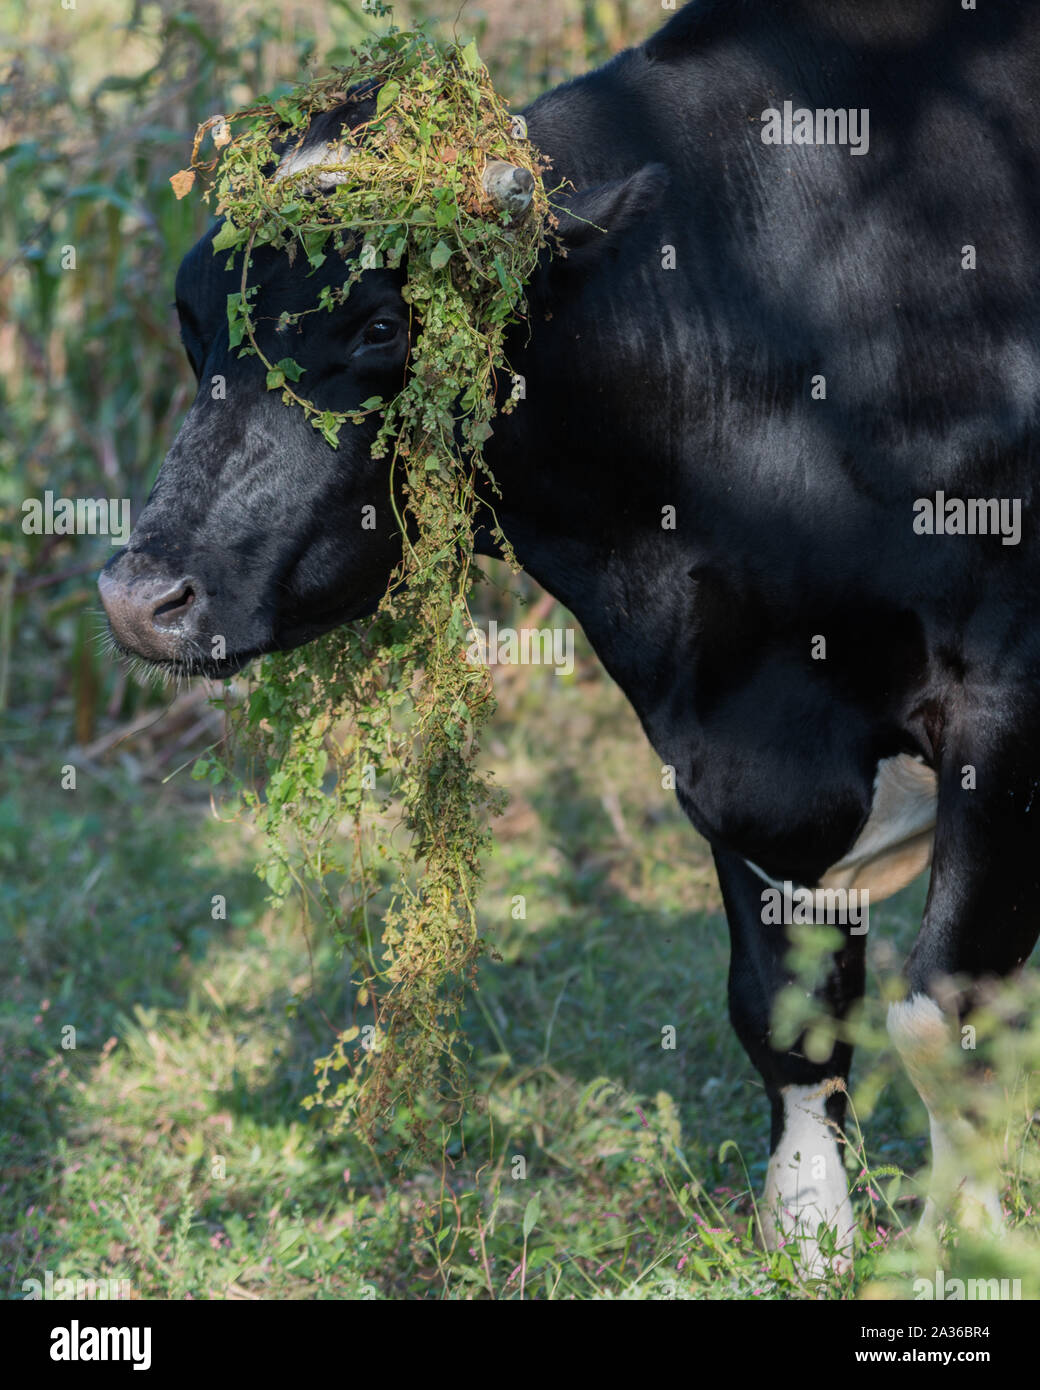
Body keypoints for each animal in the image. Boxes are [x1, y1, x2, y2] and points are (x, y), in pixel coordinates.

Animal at [99, 0, 1040, 1281]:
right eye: (194, 323)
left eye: (383, 322)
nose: (137, 596)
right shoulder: (729, 736)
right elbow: (783, 1011)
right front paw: (805, 1234)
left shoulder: (1005, 702)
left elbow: (945, 1018)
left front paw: (971, 1249)